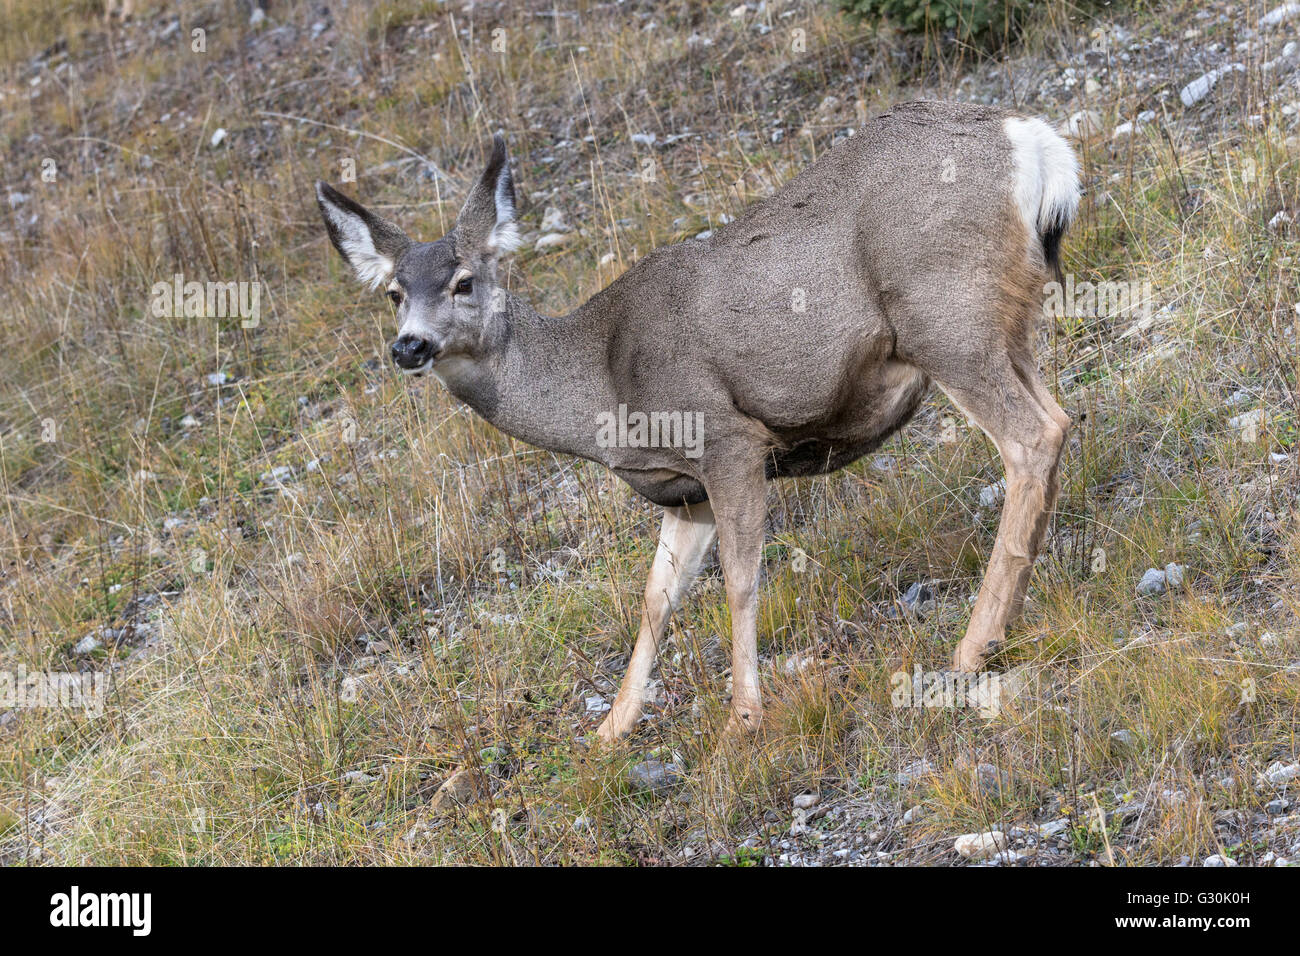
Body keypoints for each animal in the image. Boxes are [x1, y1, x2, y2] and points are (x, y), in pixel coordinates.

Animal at [315, 100, 1080, 743]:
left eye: (464, 282)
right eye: (393, 293)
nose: (409, 346)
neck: (602, 383)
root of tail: (1032, 145)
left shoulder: (728, 440)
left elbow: (741, 581)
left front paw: (744, 715)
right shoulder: (684, 495)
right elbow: (656, 600)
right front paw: (611, 730)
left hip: (945, 319)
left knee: (1031, 437)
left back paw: (974, 645)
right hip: (1007, 326)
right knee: (1057, 418)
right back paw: (1005, 618)